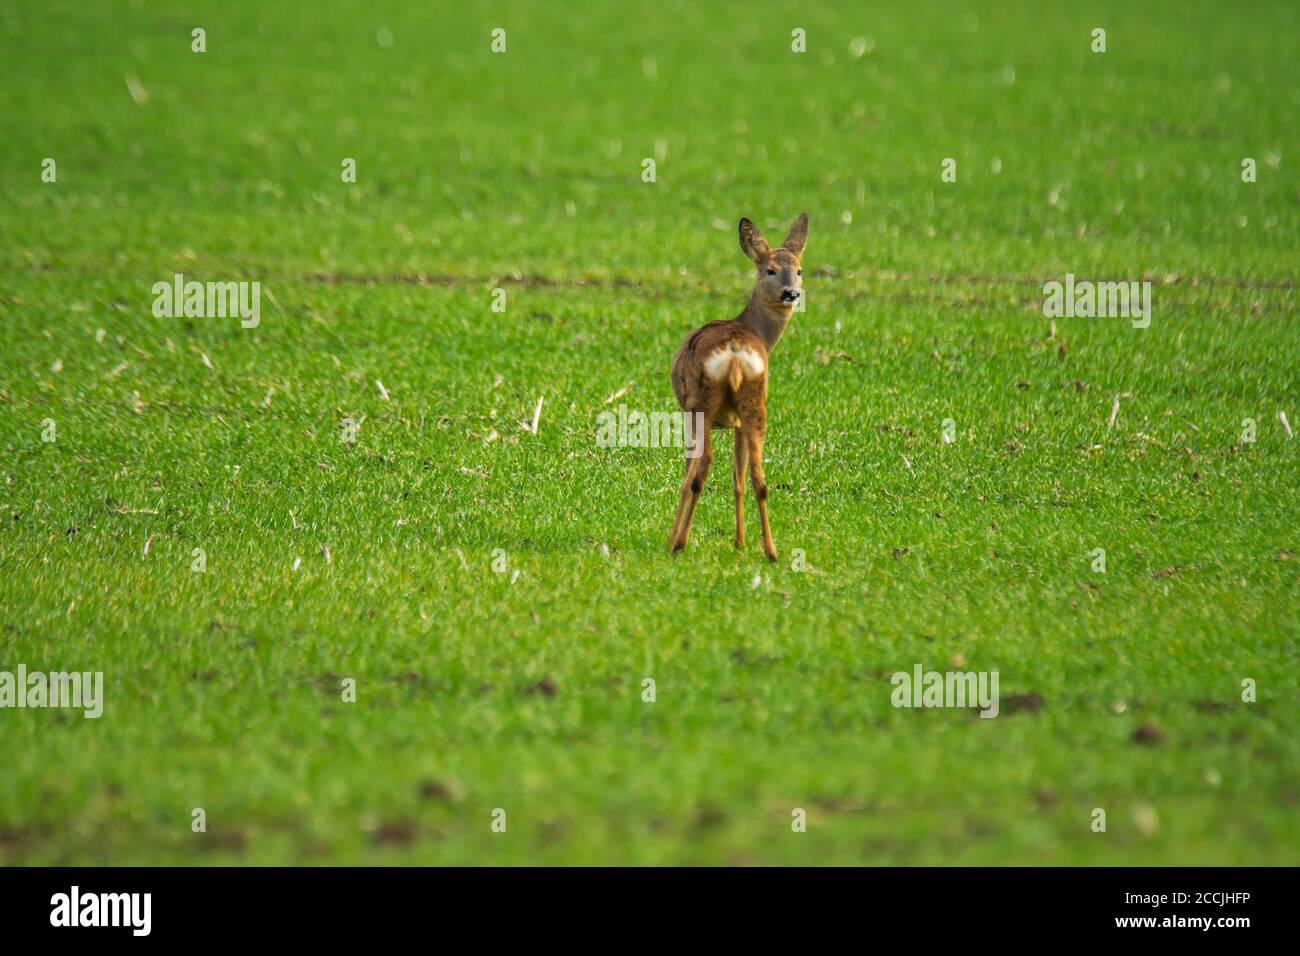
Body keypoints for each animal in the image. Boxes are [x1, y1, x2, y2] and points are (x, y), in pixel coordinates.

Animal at [668, 212, 807, 562]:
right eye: (771, 269)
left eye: (799, 270)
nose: (791, 293)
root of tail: (733, 355)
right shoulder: (737, 424)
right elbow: (738, 479)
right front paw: (740, 542)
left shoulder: (688, 413)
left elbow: (688, 474)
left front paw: (671, 536)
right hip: (755, 403)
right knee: (759, 477)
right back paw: (770, 550)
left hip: (702, 403)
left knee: (701, 470)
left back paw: (679, 542)